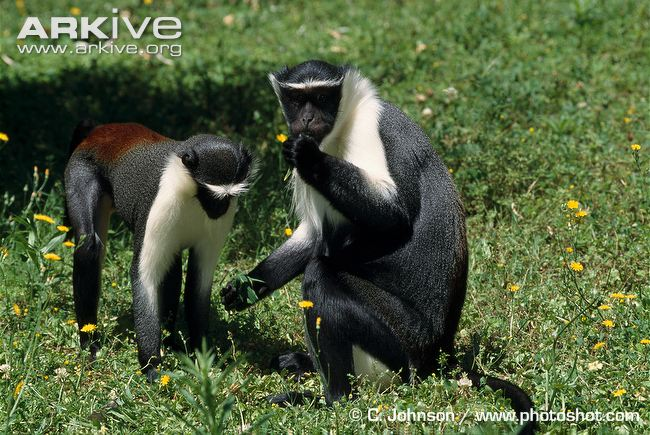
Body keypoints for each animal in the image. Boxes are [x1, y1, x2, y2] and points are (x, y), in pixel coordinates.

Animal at [65, 121, 253, 381]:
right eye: (211, 194)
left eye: (228, 196)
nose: (220, 209)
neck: (190, 191)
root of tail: (102, 129)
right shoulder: (160, 202)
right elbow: (145, 276)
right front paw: (152, 365)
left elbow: (198, 282)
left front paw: (203, 356)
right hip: (81, 171)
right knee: (89, 247)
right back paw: (89, 343)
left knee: (171, 268)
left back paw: (171, 341)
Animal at [221, 60, 535, 433]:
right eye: (297, 100)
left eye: (322, 97)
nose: (307, 120)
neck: (338, 130)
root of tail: (438, 357)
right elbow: (314, 235)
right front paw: (247, 286)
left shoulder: (368, 128)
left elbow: (393, 217)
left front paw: (310, 158)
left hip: (401, 342)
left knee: (322, 275)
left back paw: (333, 401)